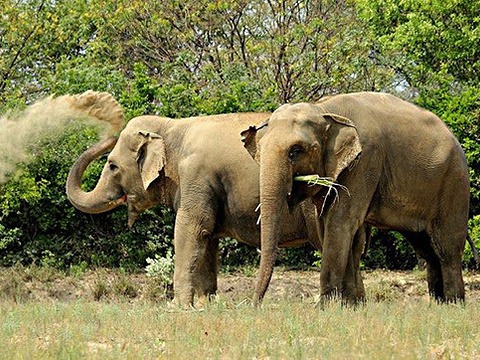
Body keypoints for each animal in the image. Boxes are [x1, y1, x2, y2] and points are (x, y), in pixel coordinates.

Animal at [64, 92, 322, 306]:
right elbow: (207, 237)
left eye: (112, 166)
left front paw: (176, 307)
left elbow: (191, 228)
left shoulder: (196, 175)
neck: (171, 127)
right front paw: (205, 305)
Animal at [242, 90, 470, 304]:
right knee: (427, 249)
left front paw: (326, 307)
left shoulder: (365, 161)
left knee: (447, 249)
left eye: (295, 151)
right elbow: (326, 226)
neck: (323, 109)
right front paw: (348, 305)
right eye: (260, 150)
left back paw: (453, 304)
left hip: (454, 183)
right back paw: (439, 304)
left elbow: (340, 223)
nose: (254, 305)